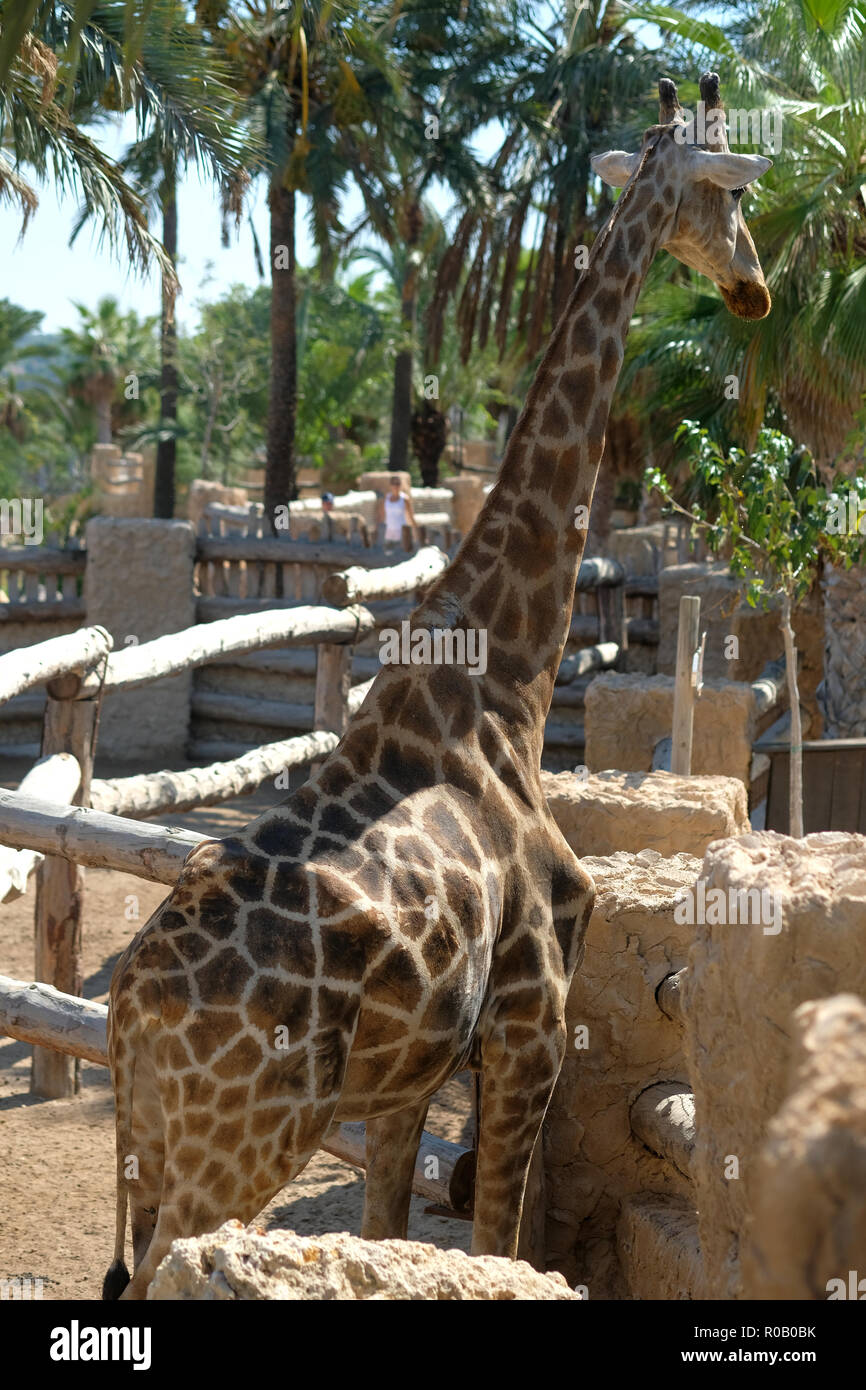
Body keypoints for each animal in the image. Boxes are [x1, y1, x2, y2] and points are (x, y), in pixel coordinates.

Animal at [104, 73, 772, 1299]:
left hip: (154, 1157)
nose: (751, 290)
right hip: (238, 1147)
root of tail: (127, 1013)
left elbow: (385, 1231)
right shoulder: (530, 1020)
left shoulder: (409, 1075)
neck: (509, 675)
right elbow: (501, 1239)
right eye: (728, 196)